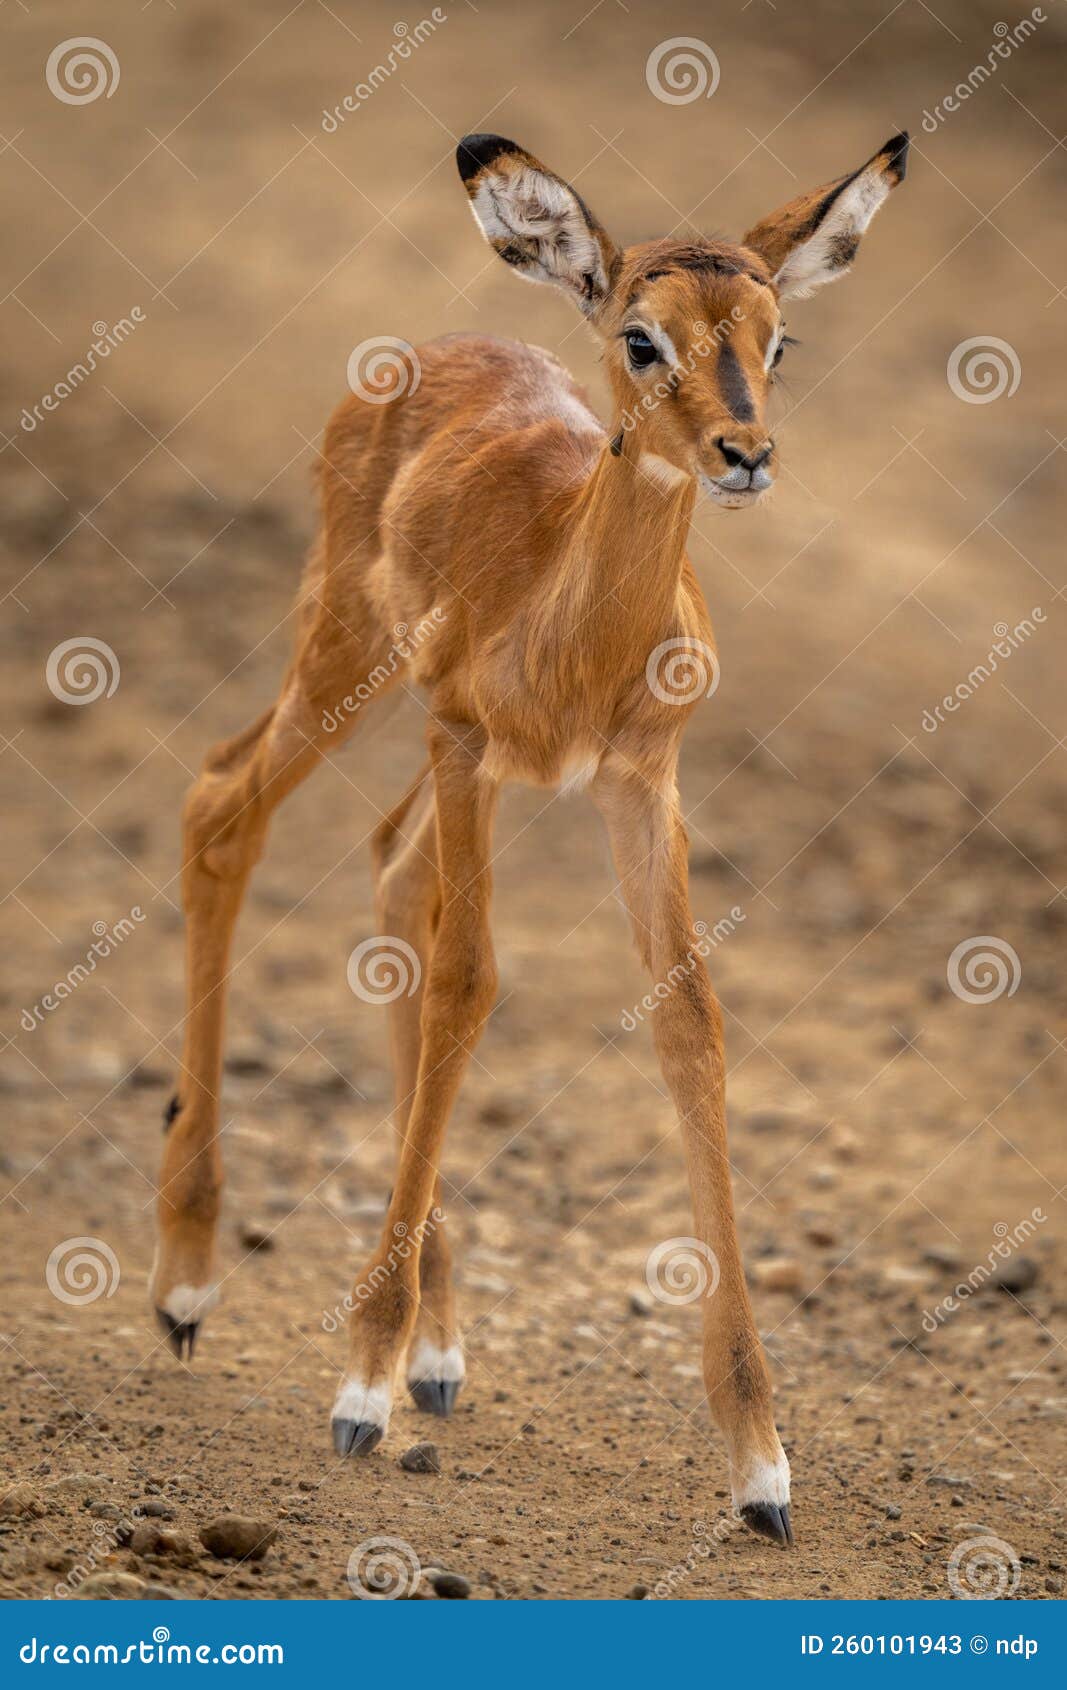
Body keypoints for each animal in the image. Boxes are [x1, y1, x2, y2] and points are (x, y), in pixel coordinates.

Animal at [152, 128, 908, 1548]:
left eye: (776, 336)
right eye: (640, 334)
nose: (742, 452)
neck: (578, 629)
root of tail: (433, 348)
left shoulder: (636, 786)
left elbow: (688, 1025)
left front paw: (762, 1467)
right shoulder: (462, 739)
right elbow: (465, 983)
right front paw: (355, 1388)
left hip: (440, 749)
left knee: (388, 870)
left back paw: (438, 1351)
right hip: (350, 661)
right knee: (224, 808)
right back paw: (185, 1288)